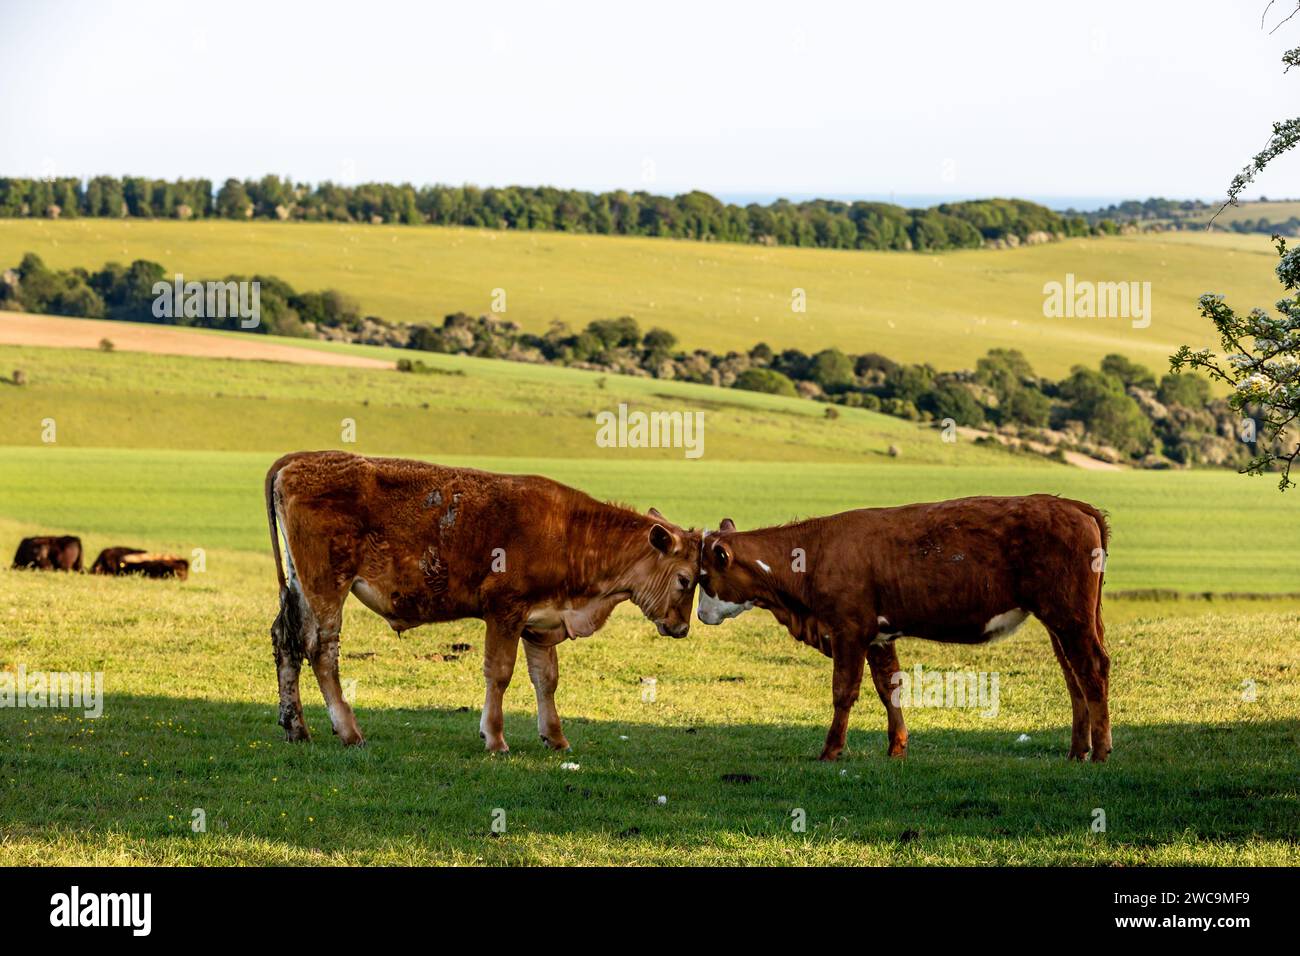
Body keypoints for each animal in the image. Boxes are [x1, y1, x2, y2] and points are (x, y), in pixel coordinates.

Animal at [264, 450, 700, 751]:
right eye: (685, 578)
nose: (680, 628)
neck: (572, 534)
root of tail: (299, 460)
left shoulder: (541, 623)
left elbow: (547, 679)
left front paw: (555, 738)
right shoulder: (504, 611)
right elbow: (500, 673)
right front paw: (494, 737)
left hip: (301, 588)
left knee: (286, 641)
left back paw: (296, 727)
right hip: (326, 587)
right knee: (321, 650)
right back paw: (349, 731)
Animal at [695, 495, 1111, 762]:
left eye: (704, 576)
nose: (700, 615)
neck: (813, 553)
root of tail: (1074, 505)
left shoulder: (848, 628)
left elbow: (843, 692)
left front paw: (831, 750)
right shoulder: (878, 636)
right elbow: (889, 688)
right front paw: (897, 746)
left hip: (1070, 616)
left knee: (1092, 669)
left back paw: (1101, 751)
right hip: (1064, 621)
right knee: (1074, 677)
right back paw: (1077, 750)